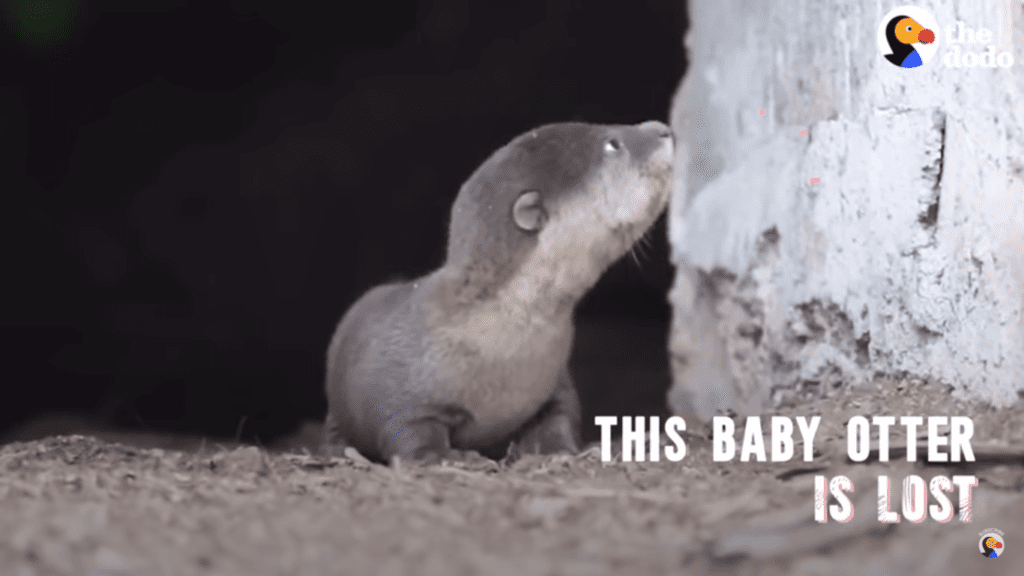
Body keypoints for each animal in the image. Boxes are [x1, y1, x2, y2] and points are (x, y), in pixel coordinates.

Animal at [323, 121, 674, 463]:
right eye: (612, 143)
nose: (663, 128)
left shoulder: (553, 381)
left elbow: (560, 415)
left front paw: (562, 451)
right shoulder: (400, 390)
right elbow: (407, 426)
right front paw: (444, 457)